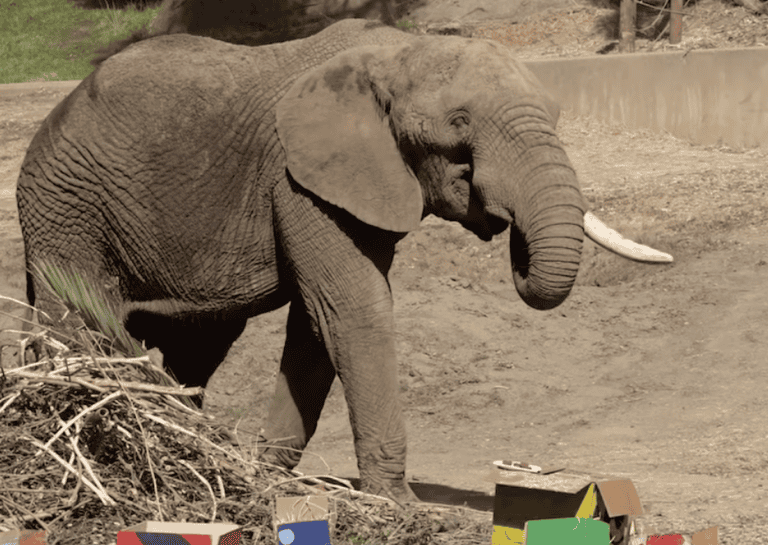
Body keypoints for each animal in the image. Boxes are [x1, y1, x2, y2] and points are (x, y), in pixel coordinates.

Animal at [16, 19, 672, 504]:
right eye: (459, 123)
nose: (505, 225)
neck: (398, 52)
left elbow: (317, 323)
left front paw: (270, 479)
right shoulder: (298, 176)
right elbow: (353, 308)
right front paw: (401, 504)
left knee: (196, 343)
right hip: (65, 201)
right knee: (80, 321)